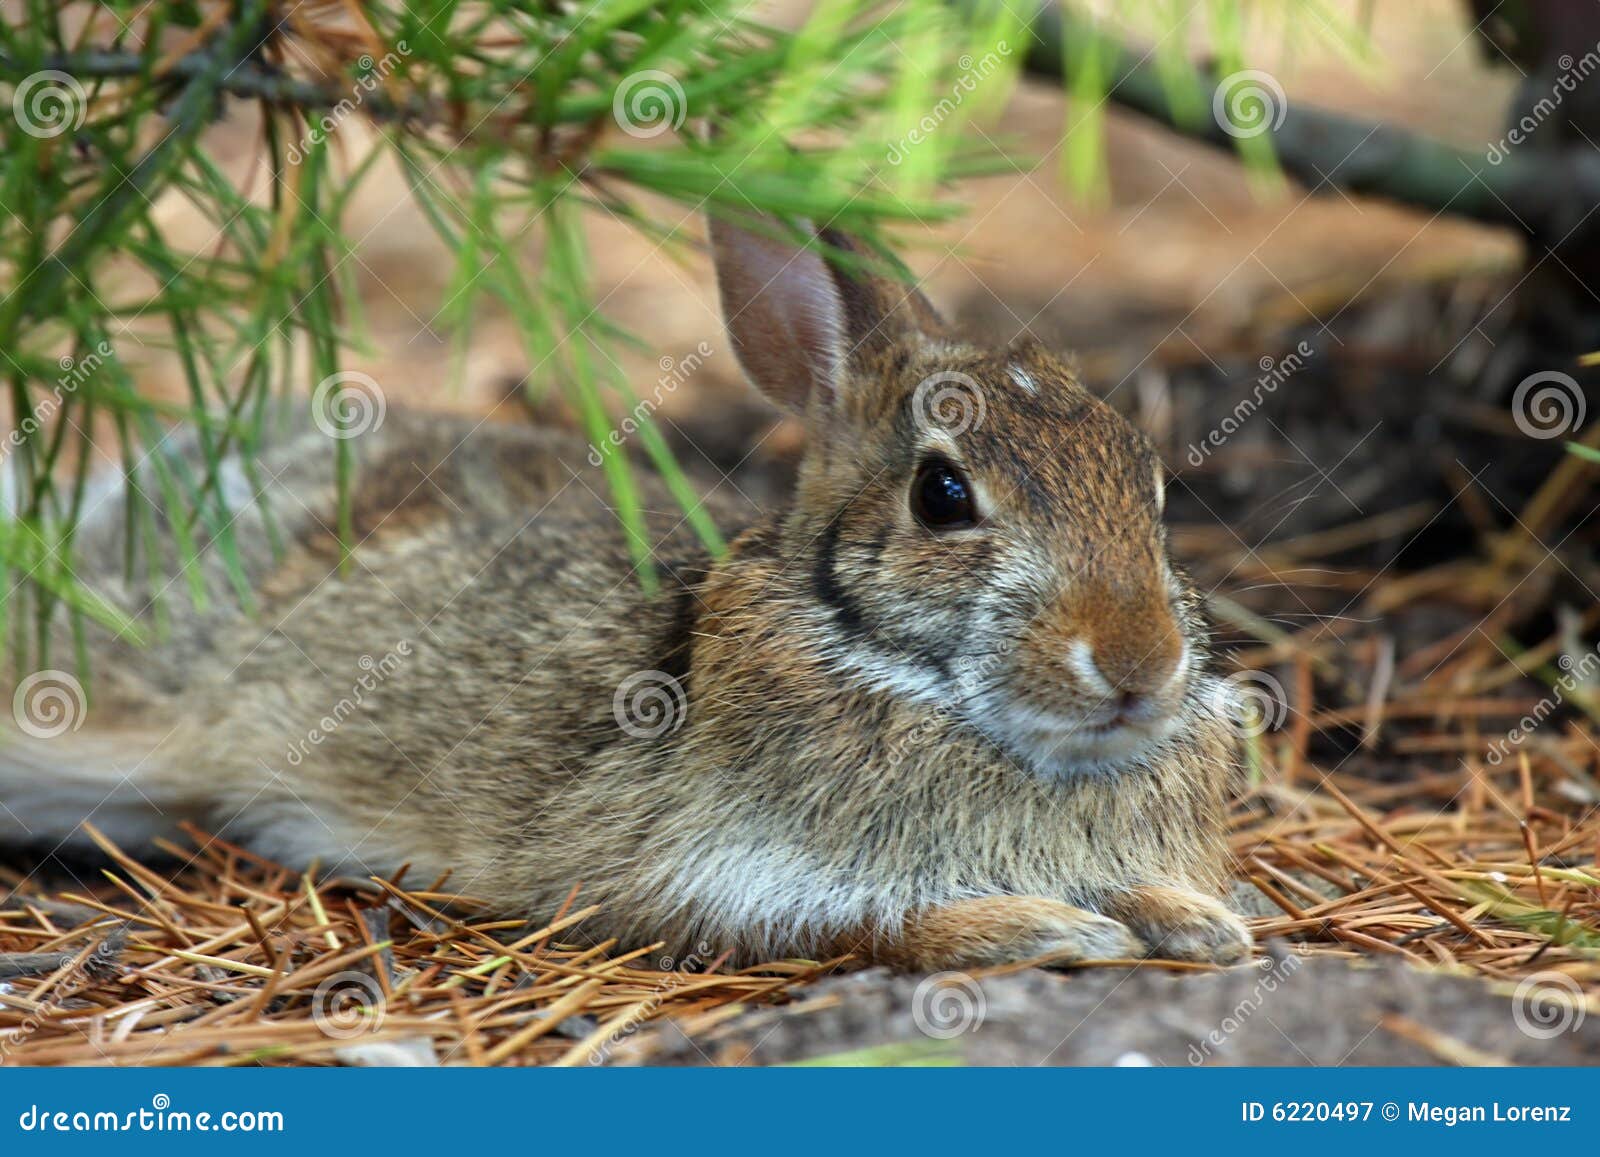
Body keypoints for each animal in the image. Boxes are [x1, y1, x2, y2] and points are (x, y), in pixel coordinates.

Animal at [0, 213, 1252, 972]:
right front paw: (1044, 927)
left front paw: (1200, 923)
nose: (1139, 666)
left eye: (1147, 486)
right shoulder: (702, 867)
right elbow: (874, 916)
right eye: (943, 495)